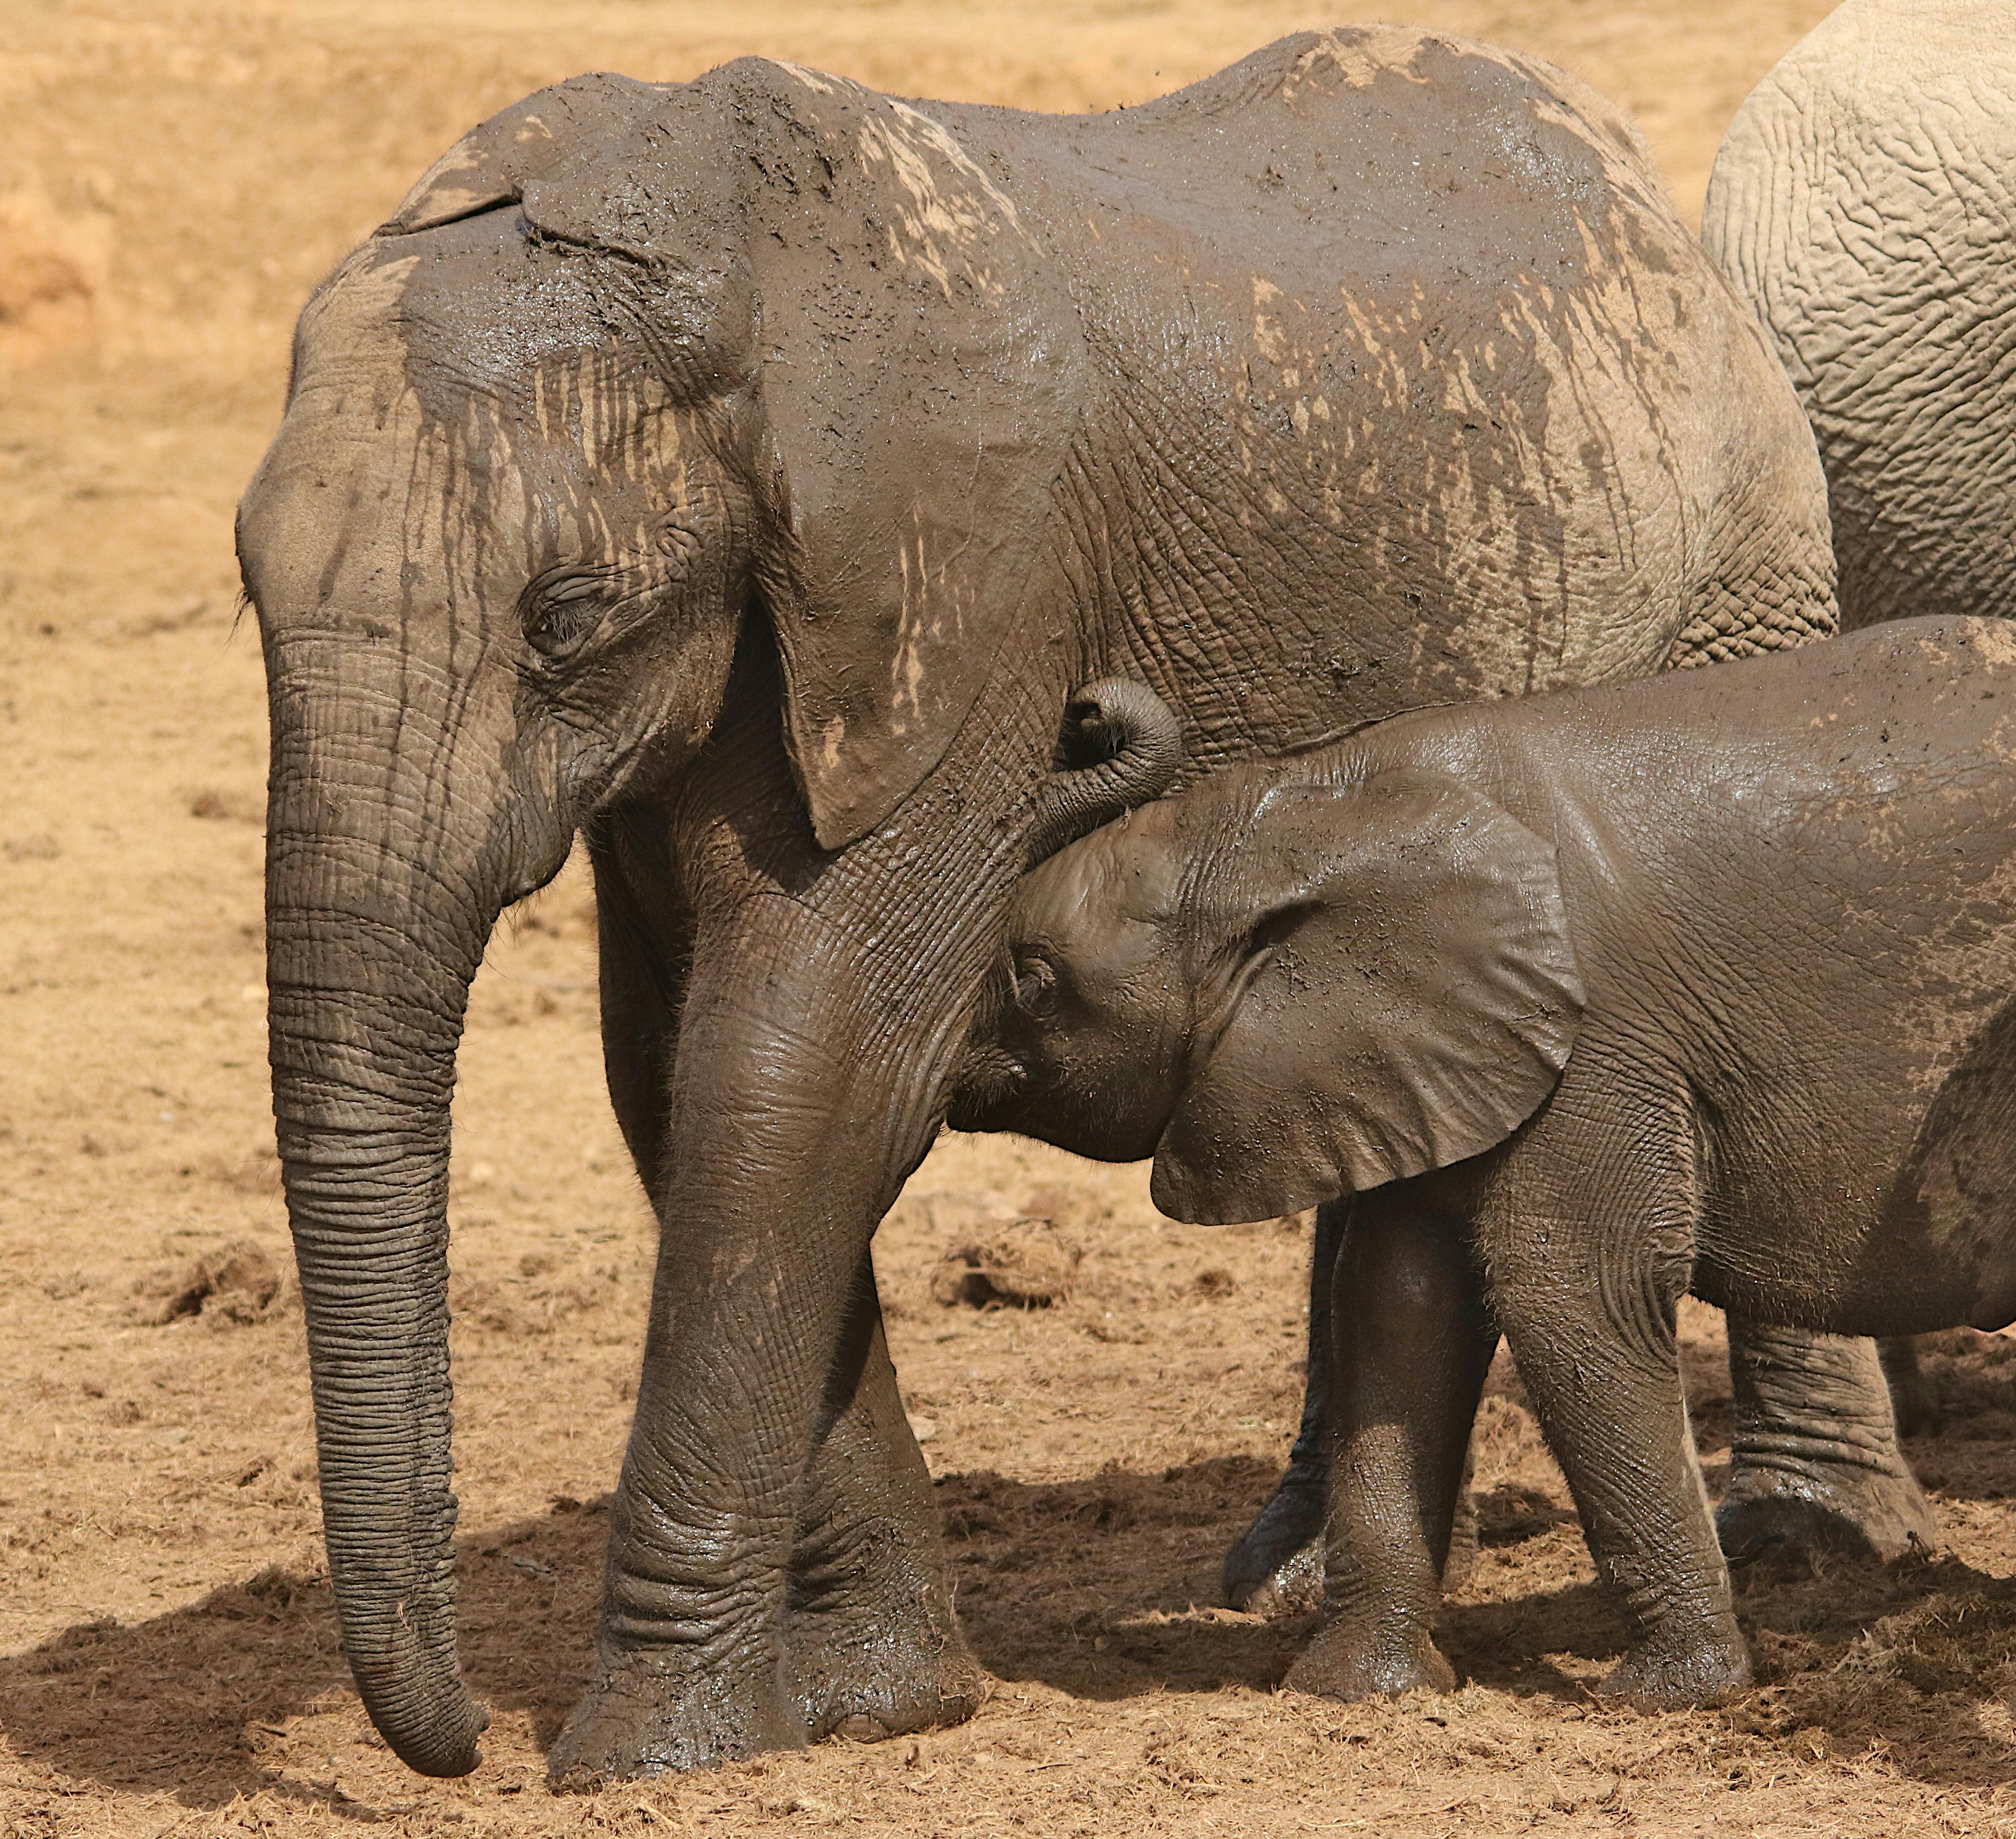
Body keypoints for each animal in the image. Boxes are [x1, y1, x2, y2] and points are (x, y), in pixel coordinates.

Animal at [239, 29, 1841, 1779]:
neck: (725, 277)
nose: (458, 1738)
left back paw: (1810, 1546)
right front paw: (879, 1702)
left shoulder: (974, 604)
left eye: (568, 616)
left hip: (1743, 571)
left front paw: (647, 1755)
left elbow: (799, 1076)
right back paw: (1288, 1591)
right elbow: (679, 1084)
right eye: (245, 586)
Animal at [949, 615, 2016, 1707]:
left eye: (1032, 979)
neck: (1299, 812)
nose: (1086, 709)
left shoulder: (1597, 1045)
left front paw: (1667, 1695)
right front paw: (1352, 1691)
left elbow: (1574, 1294)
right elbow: (1399, 1306)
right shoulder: (1420, 1050)